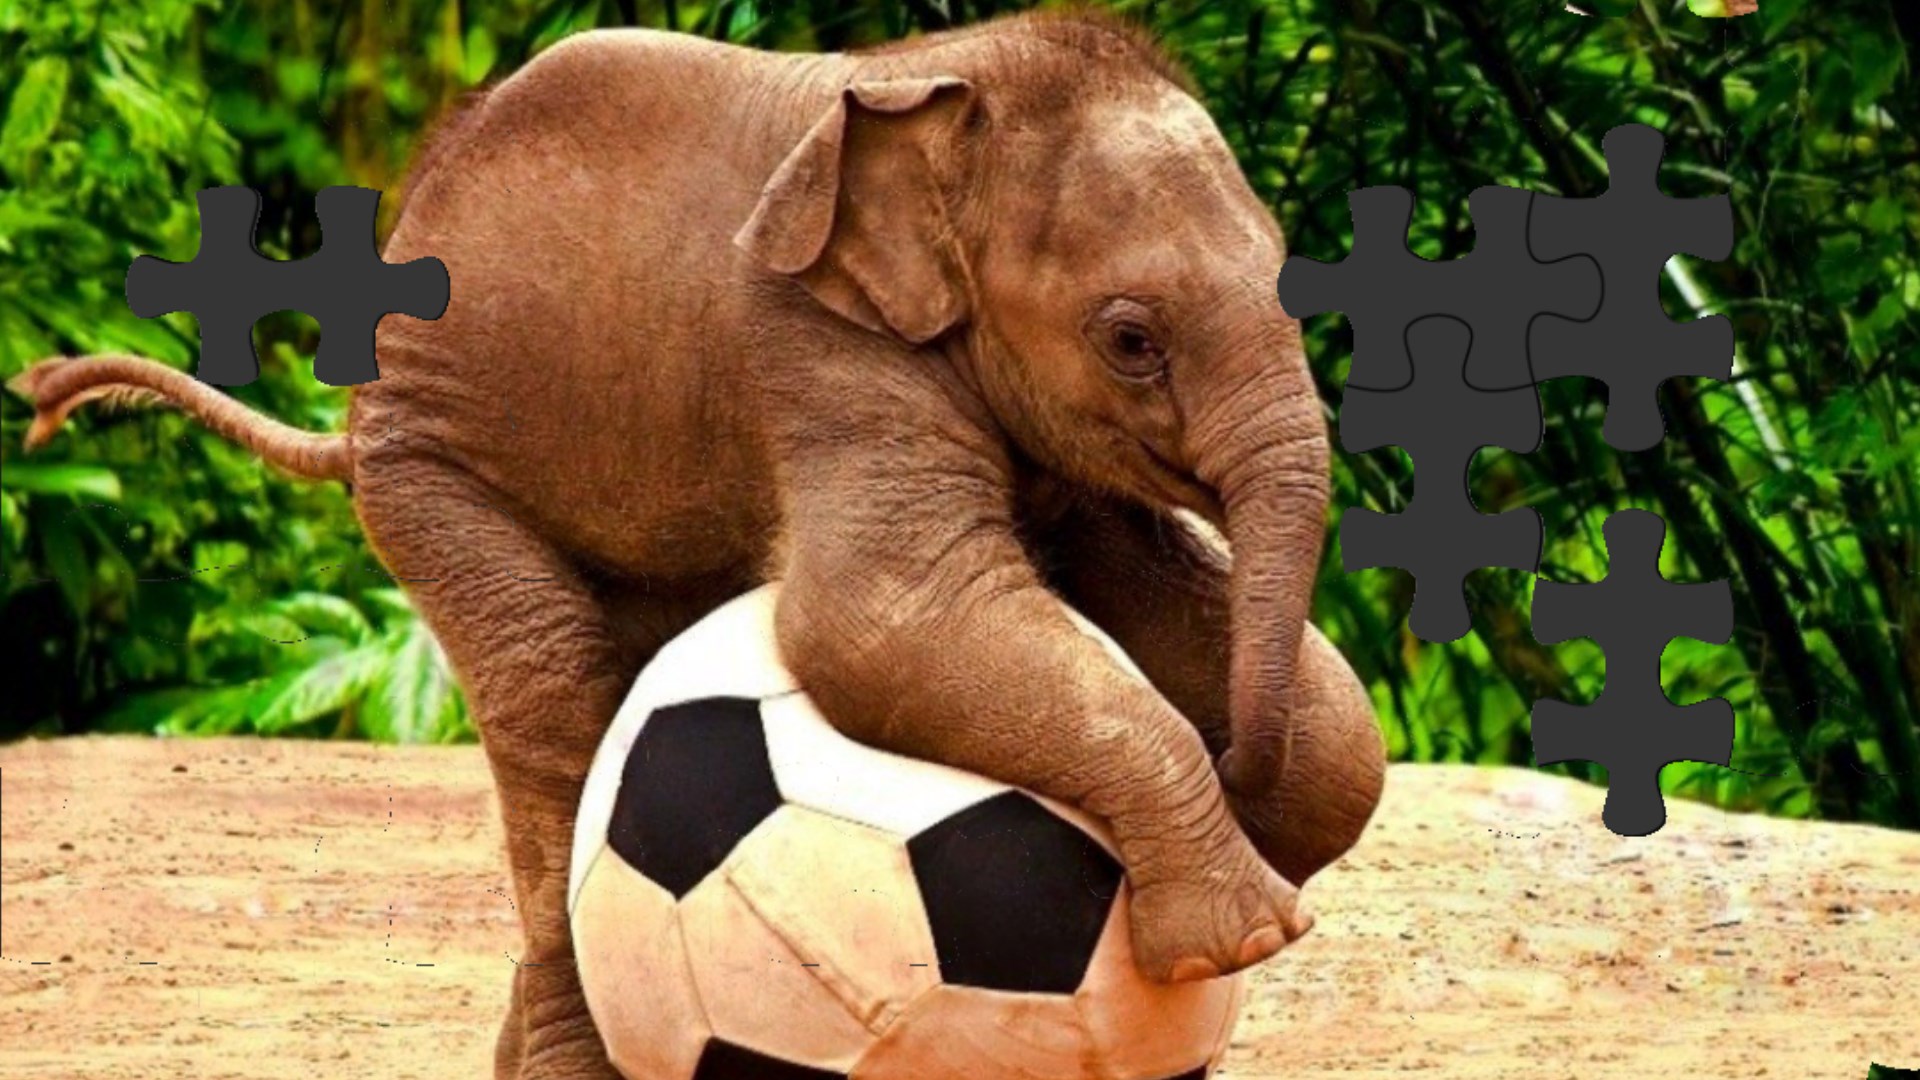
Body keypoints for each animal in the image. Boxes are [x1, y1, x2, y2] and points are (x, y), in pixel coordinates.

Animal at [12, 10, 1386, 1078]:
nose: (1232, 758)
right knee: (558, 697)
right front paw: (1247, 934)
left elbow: (1197, 624)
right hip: (431, 461)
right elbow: (879, 620)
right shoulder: (814, 345)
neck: (949, 81)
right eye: (1130, 340)